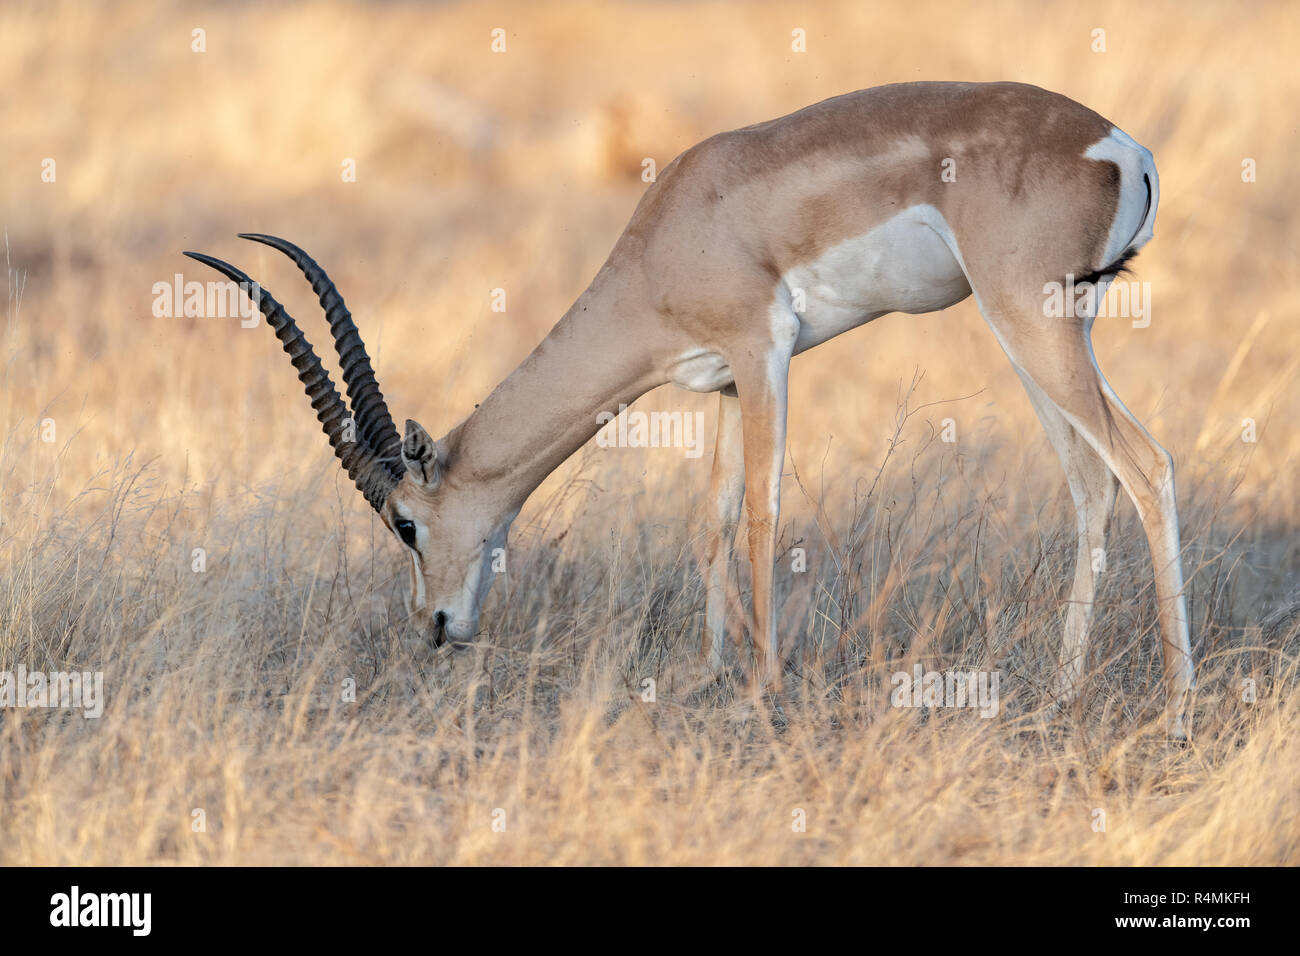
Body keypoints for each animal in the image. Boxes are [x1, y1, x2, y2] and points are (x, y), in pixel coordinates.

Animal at [186, 81, 1196, 735]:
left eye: (403, 523)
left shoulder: (763, 352)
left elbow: (761, 516)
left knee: (1146, 466)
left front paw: (763, 690)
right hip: (1045, 332)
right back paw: (1062, 697)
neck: (668, 236)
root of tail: (1122, 147)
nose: (434, 625)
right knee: (1092, 484)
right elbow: (707, 519)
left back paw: (1179, 712)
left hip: (1028, 321)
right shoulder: (717, 382)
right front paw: (711, 675)